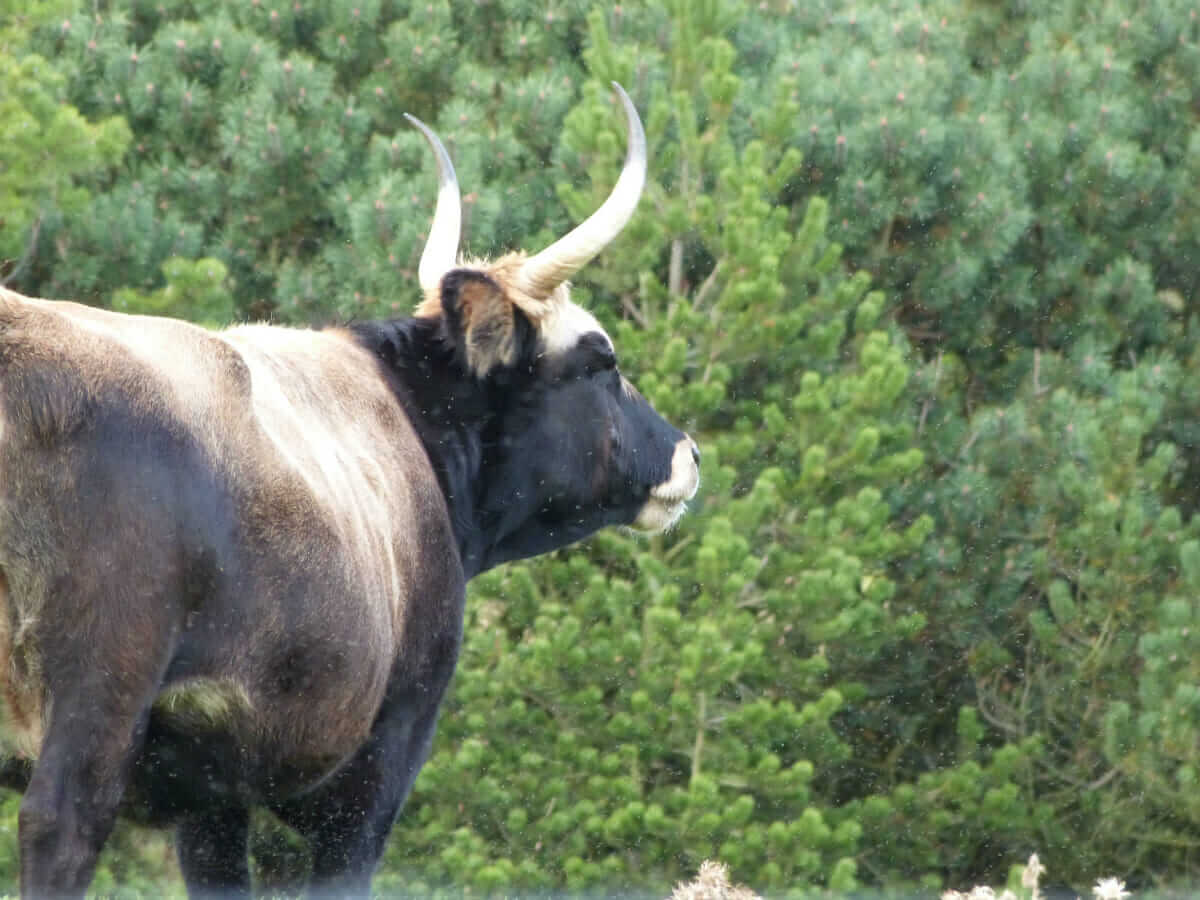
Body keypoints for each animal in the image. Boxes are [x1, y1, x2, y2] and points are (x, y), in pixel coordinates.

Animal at [0, 82, 699, 898]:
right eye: (600, 360)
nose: (687, 452)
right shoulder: (376, 776)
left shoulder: (211, 801)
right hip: (99, 695)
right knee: (60, 829)